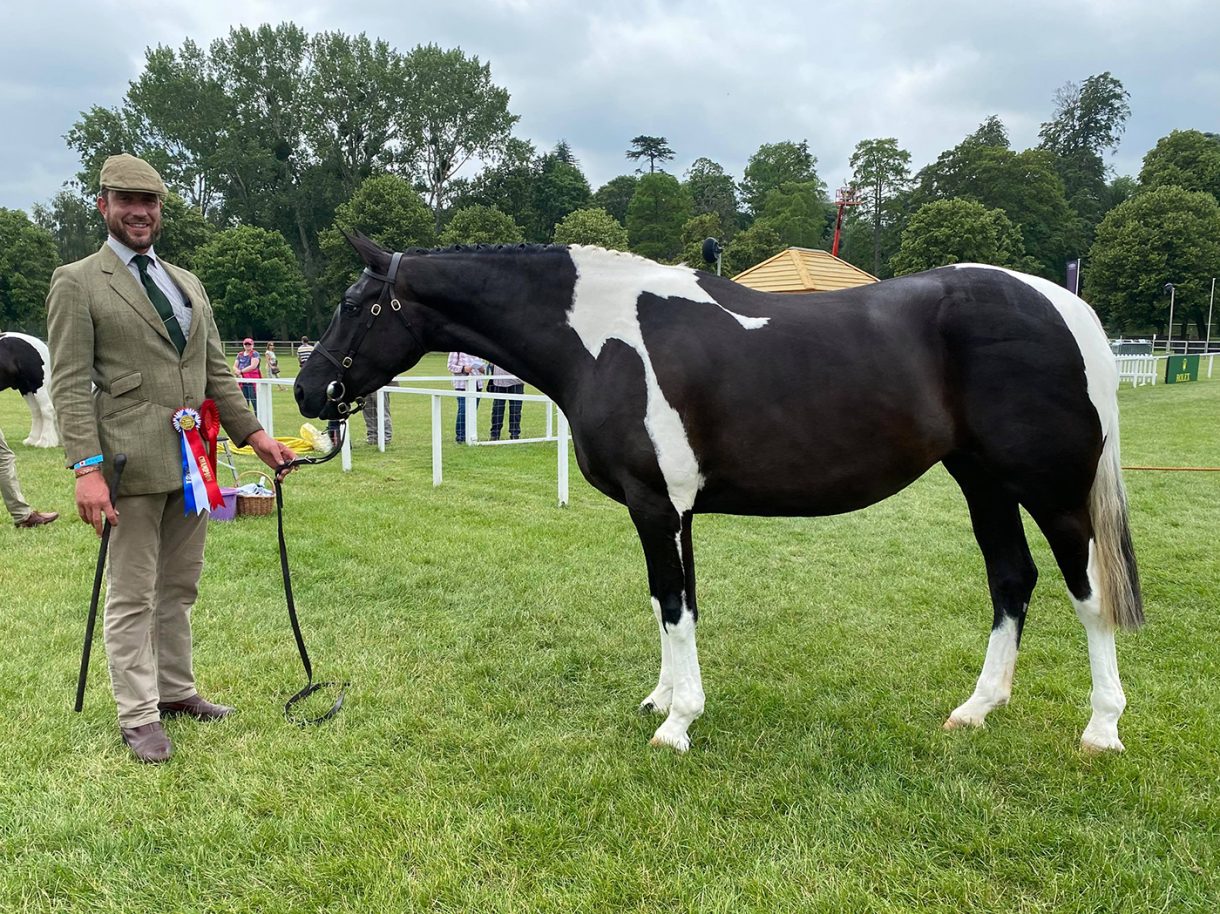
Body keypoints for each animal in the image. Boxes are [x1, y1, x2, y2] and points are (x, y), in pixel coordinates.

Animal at [295, 235, 1143, 754]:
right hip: (983, 482)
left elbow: (672, 606)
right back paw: (977, 708)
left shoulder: (656, 504)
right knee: (1012, 582)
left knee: (1088, 594)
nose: (307, 390)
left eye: (354, 305)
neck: (603, 338)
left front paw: (678, 723)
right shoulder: (674, 510)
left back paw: (1102, 728)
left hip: (1052, 492)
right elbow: (674, 604)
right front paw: (665, 699)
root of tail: (1065, 307)